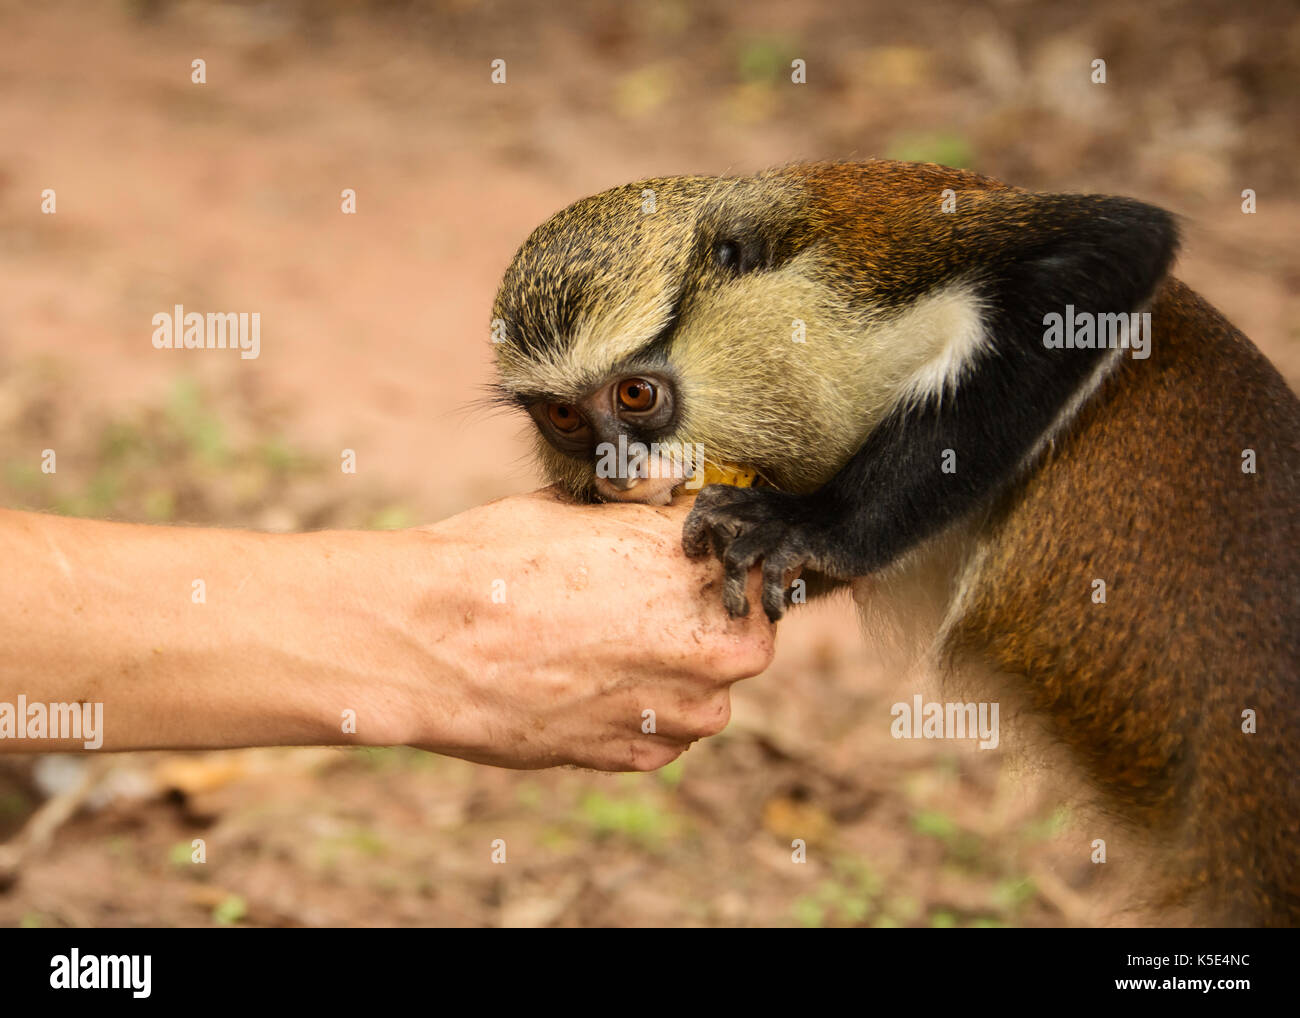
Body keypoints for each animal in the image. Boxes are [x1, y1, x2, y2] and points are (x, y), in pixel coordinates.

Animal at [489, 160, 1299, 927]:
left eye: (635, 395)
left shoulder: (877, 257)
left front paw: (821, 527)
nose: (615, 470)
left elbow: (1107, 245)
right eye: (566, 418)